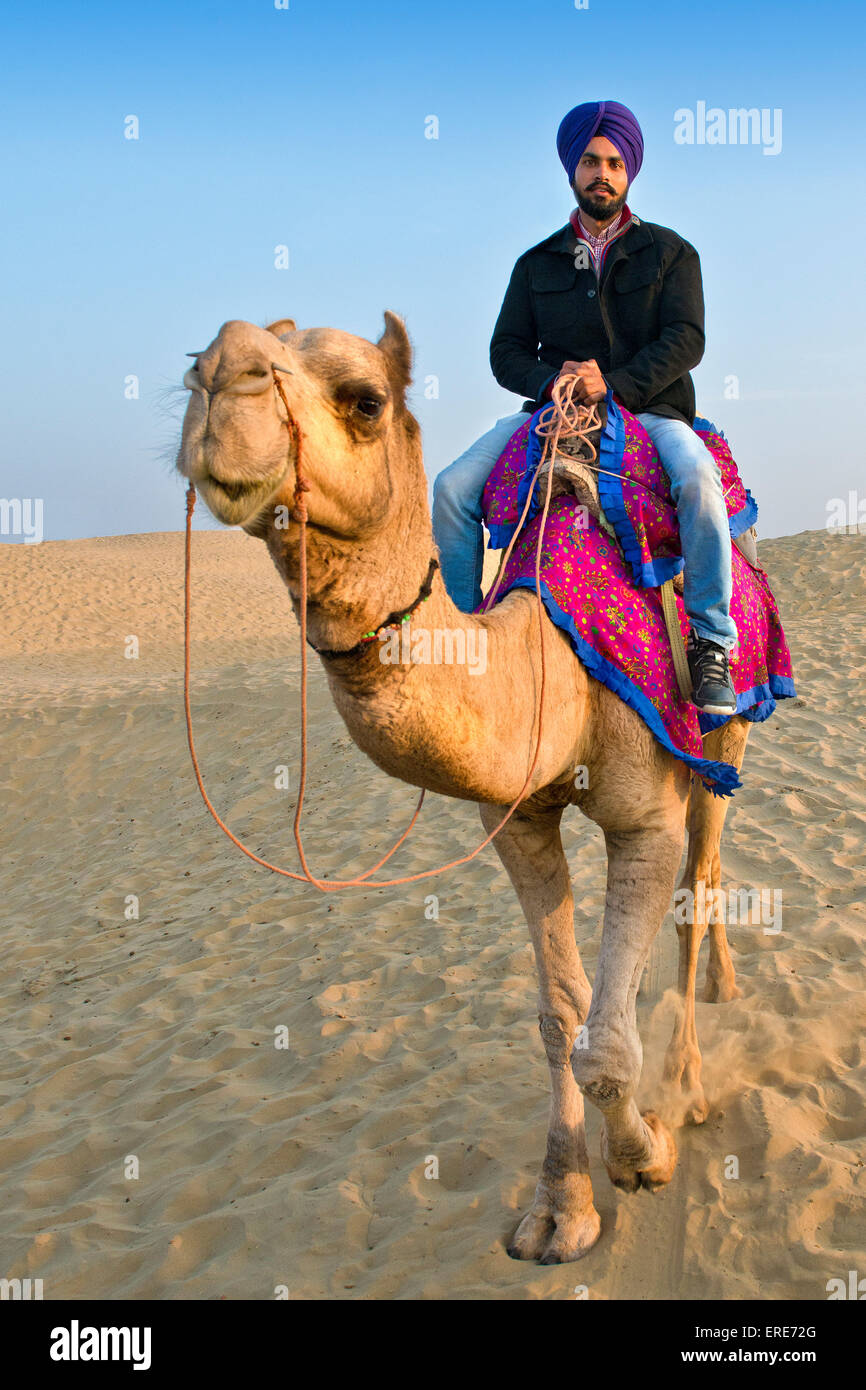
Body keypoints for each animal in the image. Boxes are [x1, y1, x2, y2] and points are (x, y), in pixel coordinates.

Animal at [176, 311, 751, 1263]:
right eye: (190, 370)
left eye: (365, 400)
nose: (222, 374)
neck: (556, 662)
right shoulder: (516, 824)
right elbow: (563, 1015)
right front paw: (561, 1209)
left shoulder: (646, 817)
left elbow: (605, 1044)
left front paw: (644, 1155)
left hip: (722, 744)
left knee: (699, 887)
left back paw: (695, 1079)